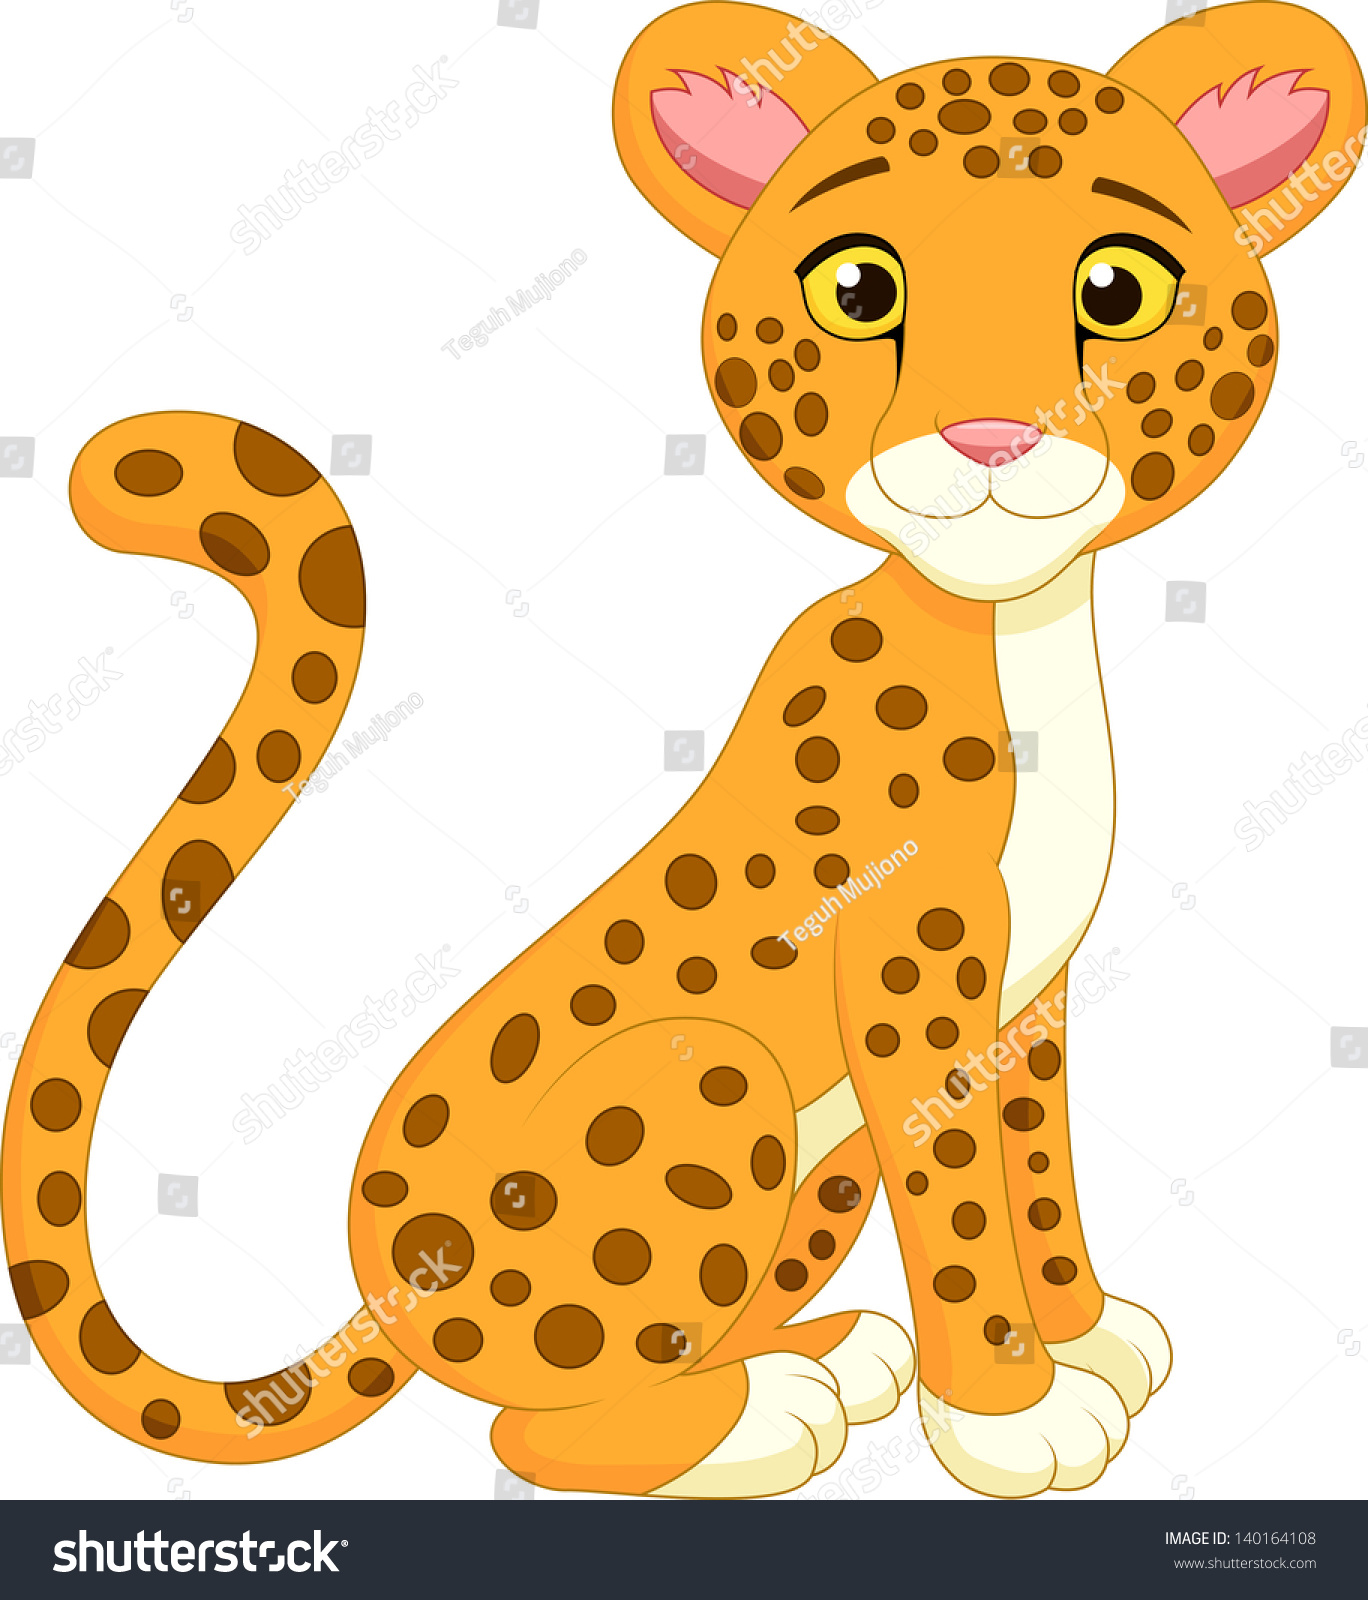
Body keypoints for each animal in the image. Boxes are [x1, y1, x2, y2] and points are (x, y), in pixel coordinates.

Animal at [4, 0, 1362, 1500]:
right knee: (528, 1424)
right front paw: (1012, 1409)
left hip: (814, 1171)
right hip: (713, 1072)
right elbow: (960, 1207)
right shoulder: (915, 982)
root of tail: (386, 1302)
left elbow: (1039, 1169)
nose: (994, 439)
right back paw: (770, 1412)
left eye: (1119, 288)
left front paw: (1084, 1332)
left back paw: (824, 1353)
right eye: (857, 290)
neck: (1007, 622)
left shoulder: (1031, 992)